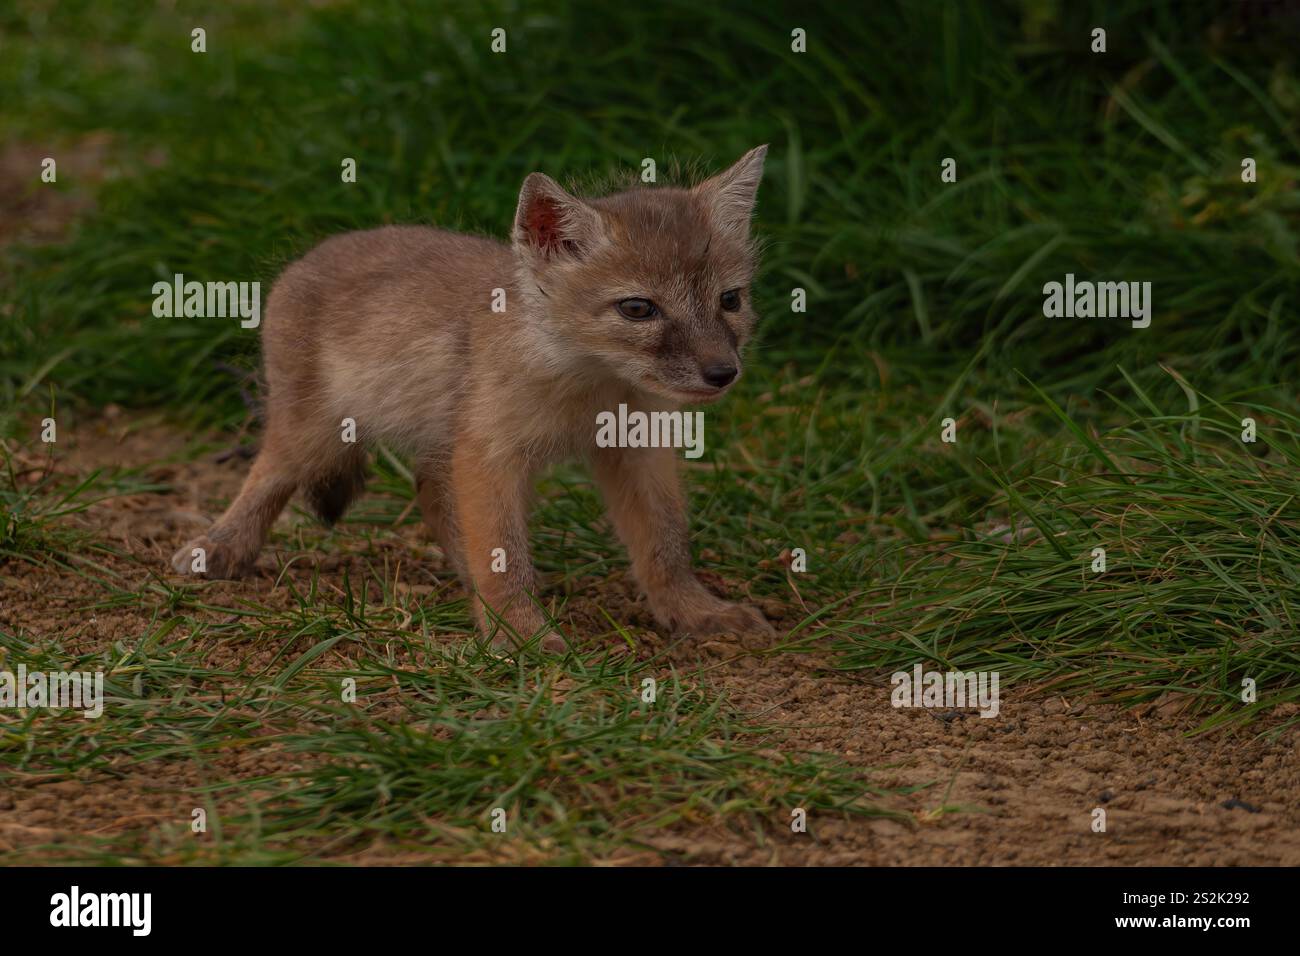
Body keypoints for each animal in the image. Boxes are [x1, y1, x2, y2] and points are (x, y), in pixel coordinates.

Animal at [171, 145, 776, 652]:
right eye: (638, 309)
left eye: (730, 300)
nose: (723, 373)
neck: (590, 390)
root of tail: (308, 257)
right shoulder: (490, 454)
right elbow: (504, 555)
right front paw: (521, 634)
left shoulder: (636, 449)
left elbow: (665, 548)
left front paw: (694, 611)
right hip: (312, 438)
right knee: (267, 475)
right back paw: (219, 547)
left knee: (430, 494)